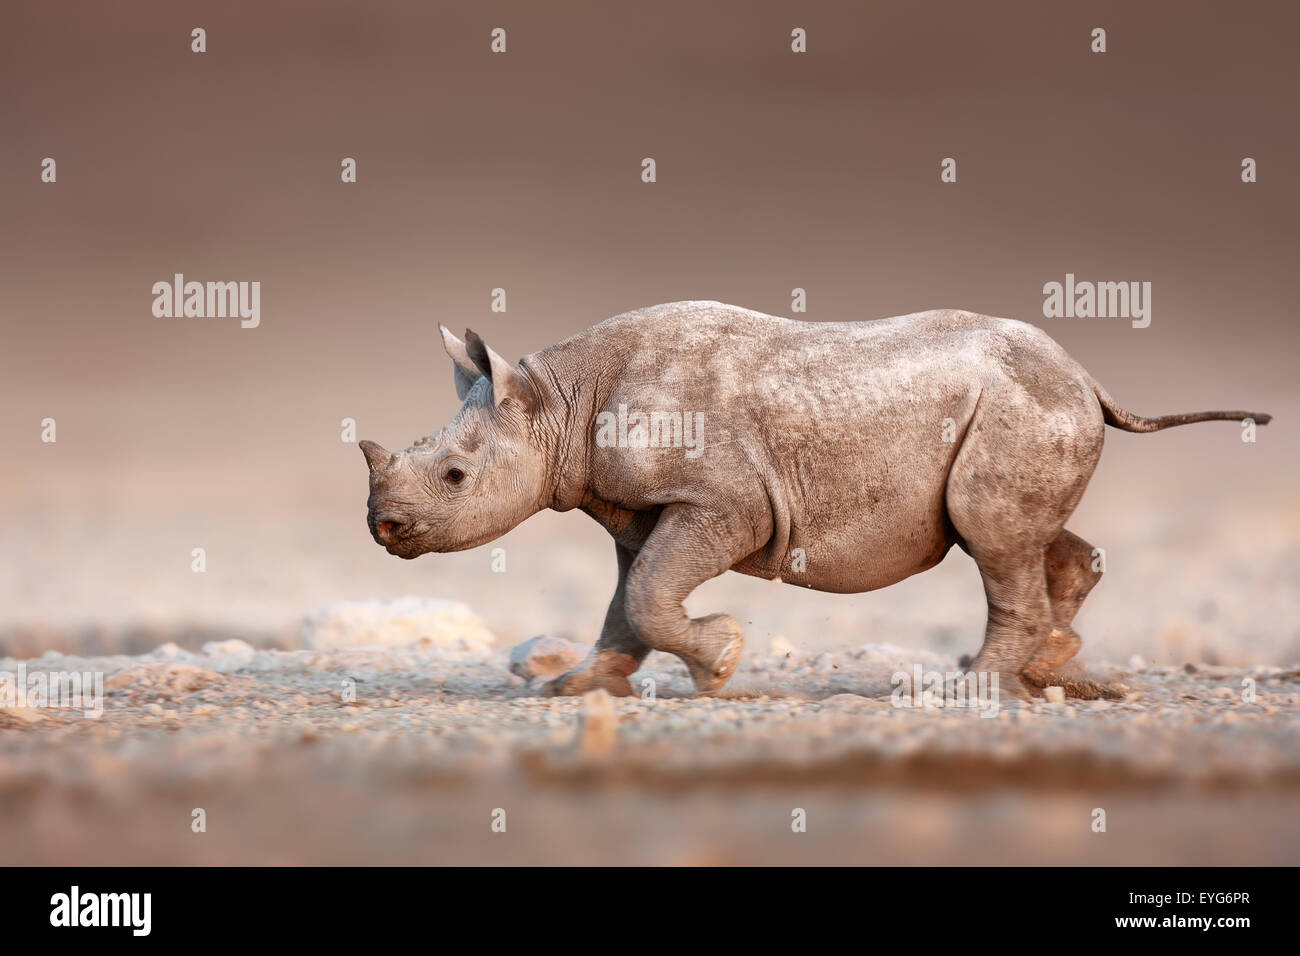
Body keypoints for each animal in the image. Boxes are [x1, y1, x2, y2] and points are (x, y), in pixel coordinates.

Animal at [359, 301, 1270, 699]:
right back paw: (1046, 671)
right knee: (1023, 536)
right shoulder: (638, 514)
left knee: (993, 537)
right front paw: (576, 689)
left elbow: (651, 594)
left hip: (1021, 406)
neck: (557, 401)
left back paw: (960, 693)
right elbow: (627, 601)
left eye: (454, 477)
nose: (384, 527)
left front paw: (721, 662)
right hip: (1032, 405)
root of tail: (1087, 376)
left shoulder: (722, 502)